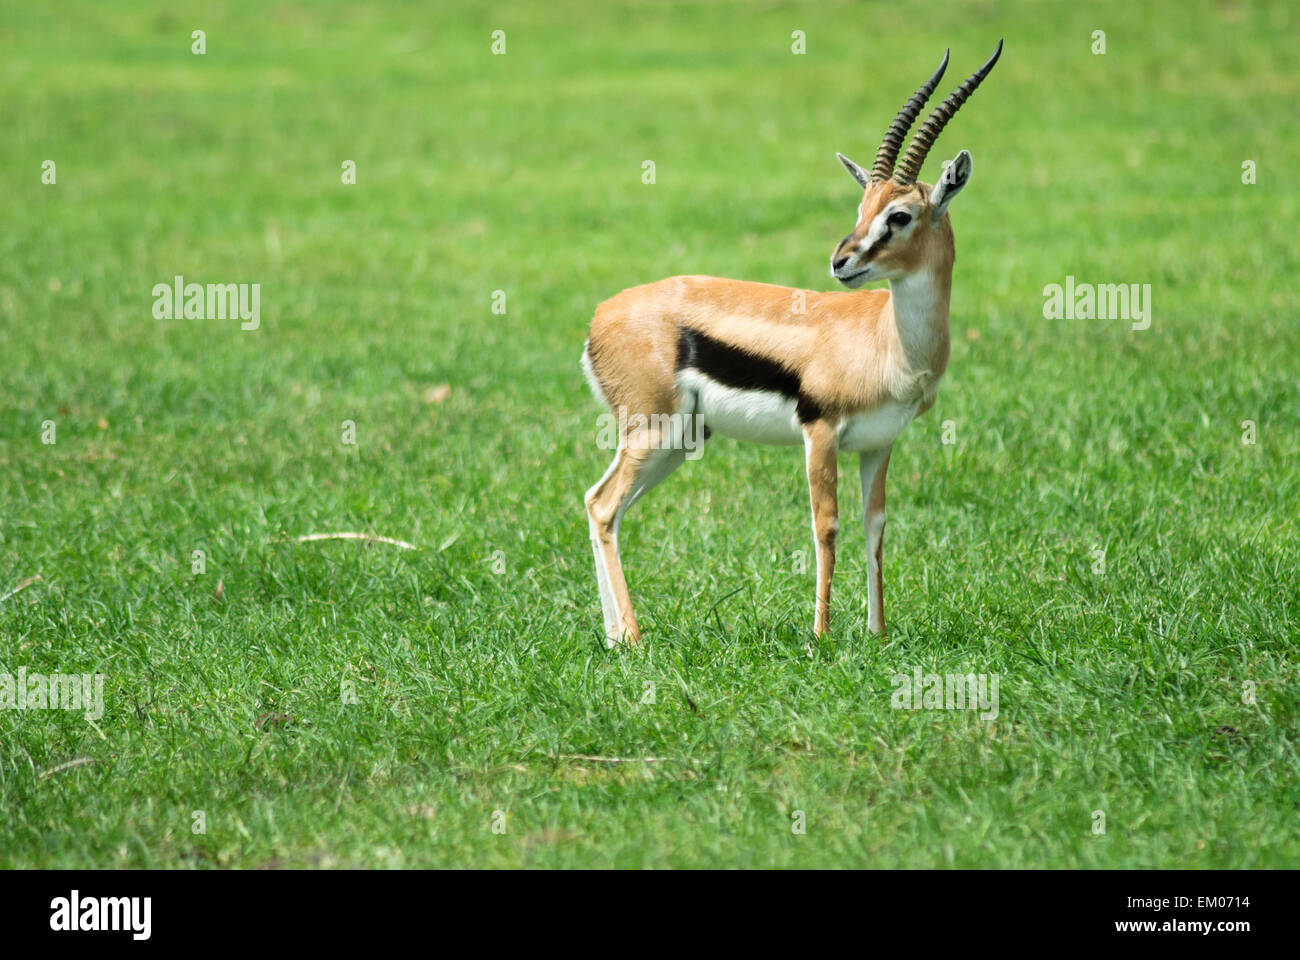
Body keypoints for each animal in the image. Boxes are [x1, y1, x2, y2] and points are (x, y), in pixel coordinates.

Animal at [581, 42, 1003, 646]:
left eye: (898, 215)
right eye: (861, 210)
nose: (841, 261)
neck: (887, 343)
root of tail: (601, 316)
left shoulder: (879, 444)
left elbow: (875, 527)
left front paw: (876, 634)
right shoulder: (820, 433)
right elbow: (826, 526)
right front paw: (822, 636)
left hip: (679, 441)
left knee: (603, 507)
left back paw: (617, 638)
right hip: (652, 431)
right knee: (603, 503)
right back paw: (634, 640)